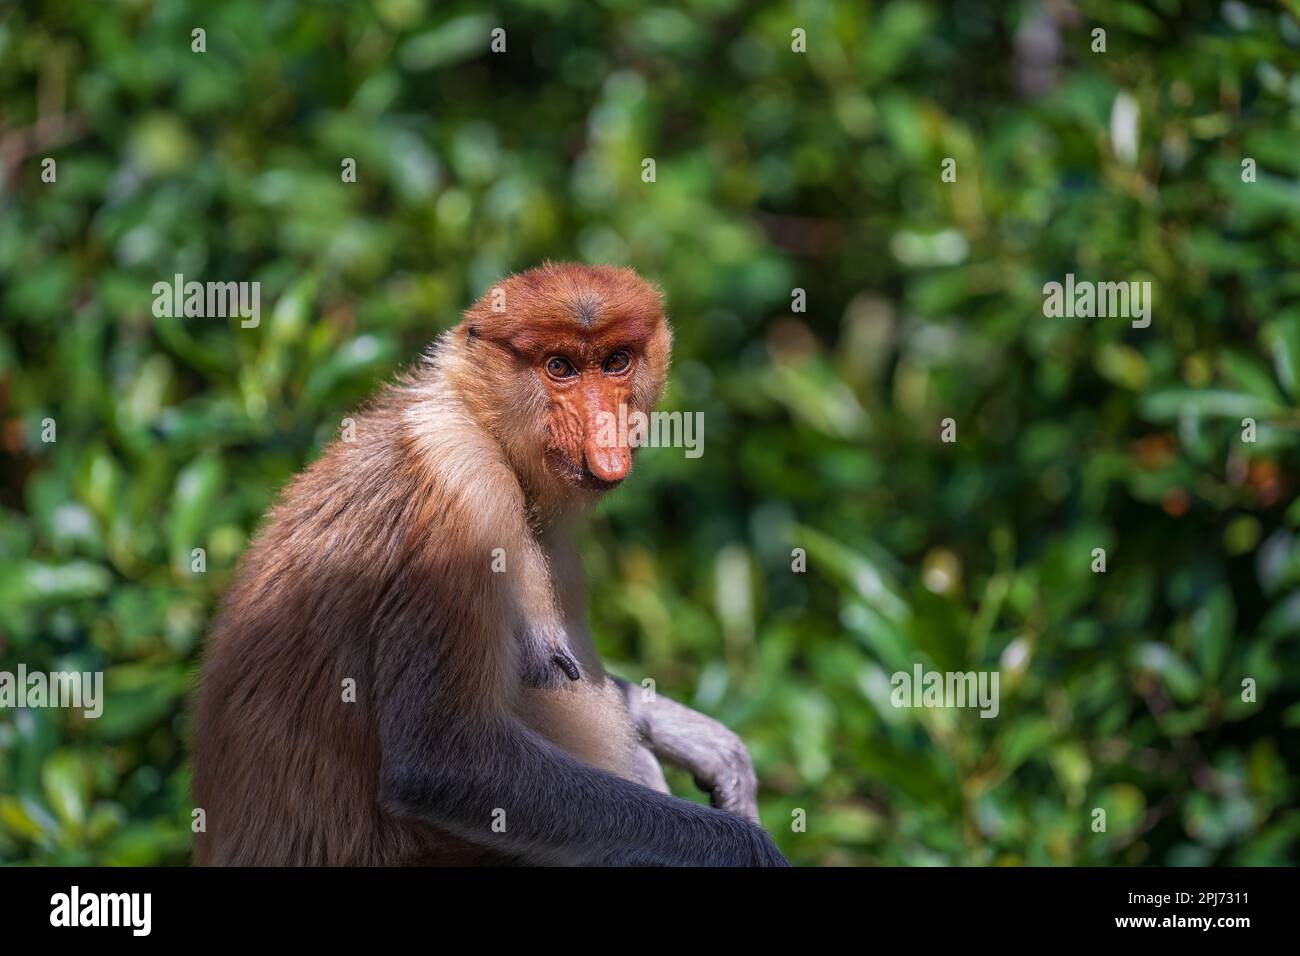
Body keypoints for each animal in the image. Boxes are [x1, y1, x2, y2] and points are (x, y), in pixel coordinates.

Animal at [191, 262, 788, 866]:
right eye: (559, 367)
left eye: (616, 361)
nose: (607, 436)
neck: (481, 423)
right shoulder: (465, 498)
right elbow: (443, 762)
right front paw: (745, 847)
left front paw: (714, 748)